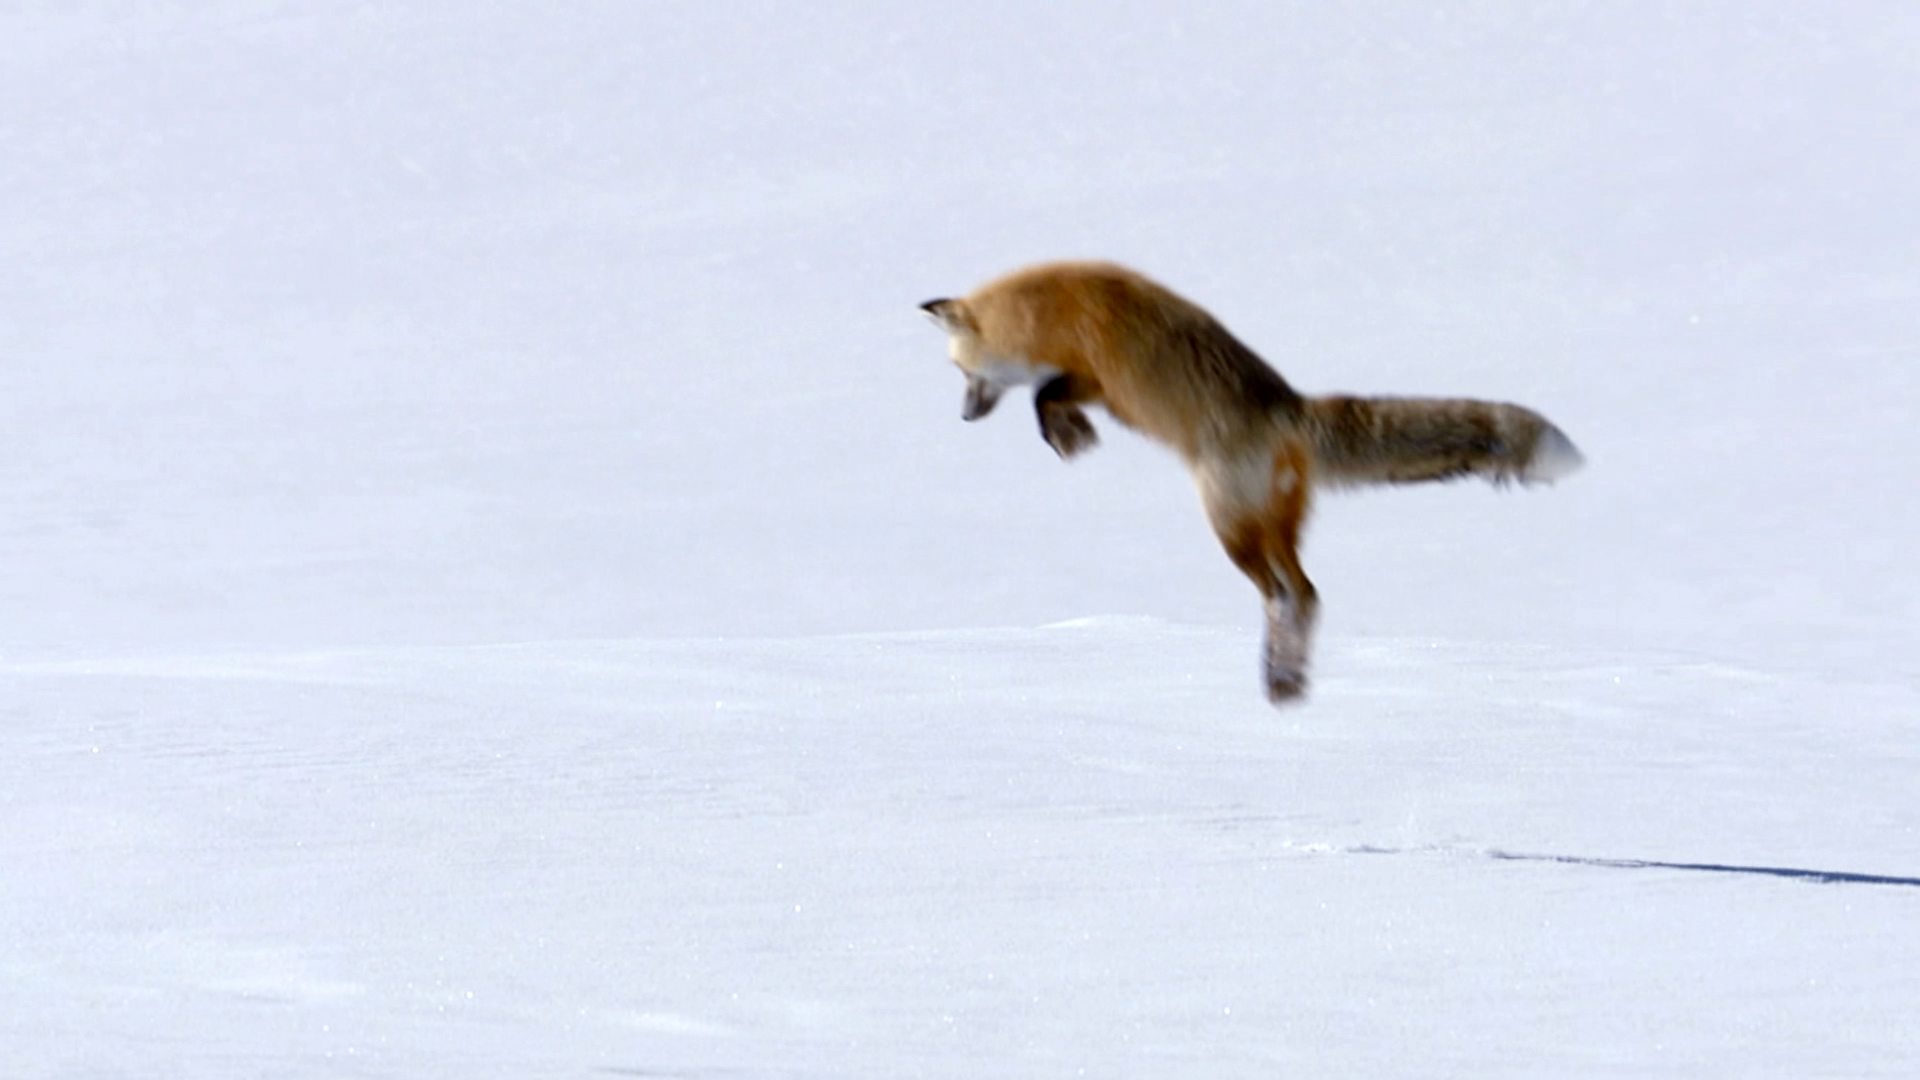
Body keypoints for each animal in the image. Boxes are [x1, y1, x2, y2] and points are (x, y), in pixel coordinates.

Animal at [920, 260, 1582, 705]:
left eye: (961, 372)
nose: (963, 417)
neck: (1047, 307)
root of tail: (1290, 410)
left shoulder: (1097, 375)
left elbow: (1045, 395)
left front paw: (1069, 436)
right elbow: (1045, 394)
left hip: (1230, 525)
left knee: (1287, 593)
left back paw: (1282, 680)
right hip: (1271, 524)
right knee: (1303, 594)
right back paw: (1283, 679)